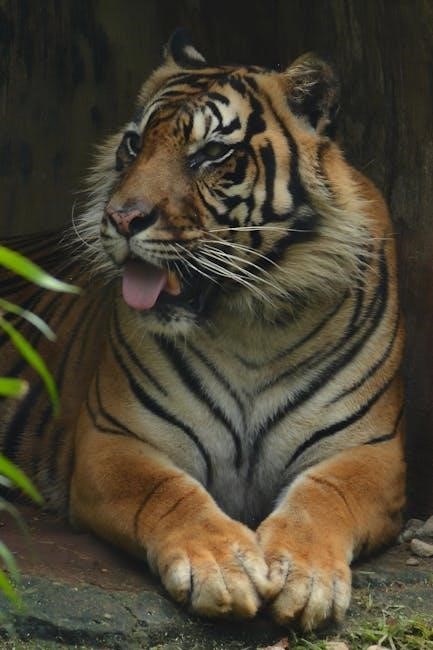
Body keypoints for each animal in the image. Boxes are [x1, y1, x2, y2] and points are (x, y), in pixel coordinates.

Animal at [0, 29, 405, 630]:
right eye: (133, 145)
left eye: (212, 153)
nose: (121, 218)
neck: (252, 325)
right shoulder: (116, 439)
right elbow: (168, 492)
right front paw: (222, 566)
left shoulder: (370, 449)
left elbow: (325, 497)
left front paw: (305, 579)